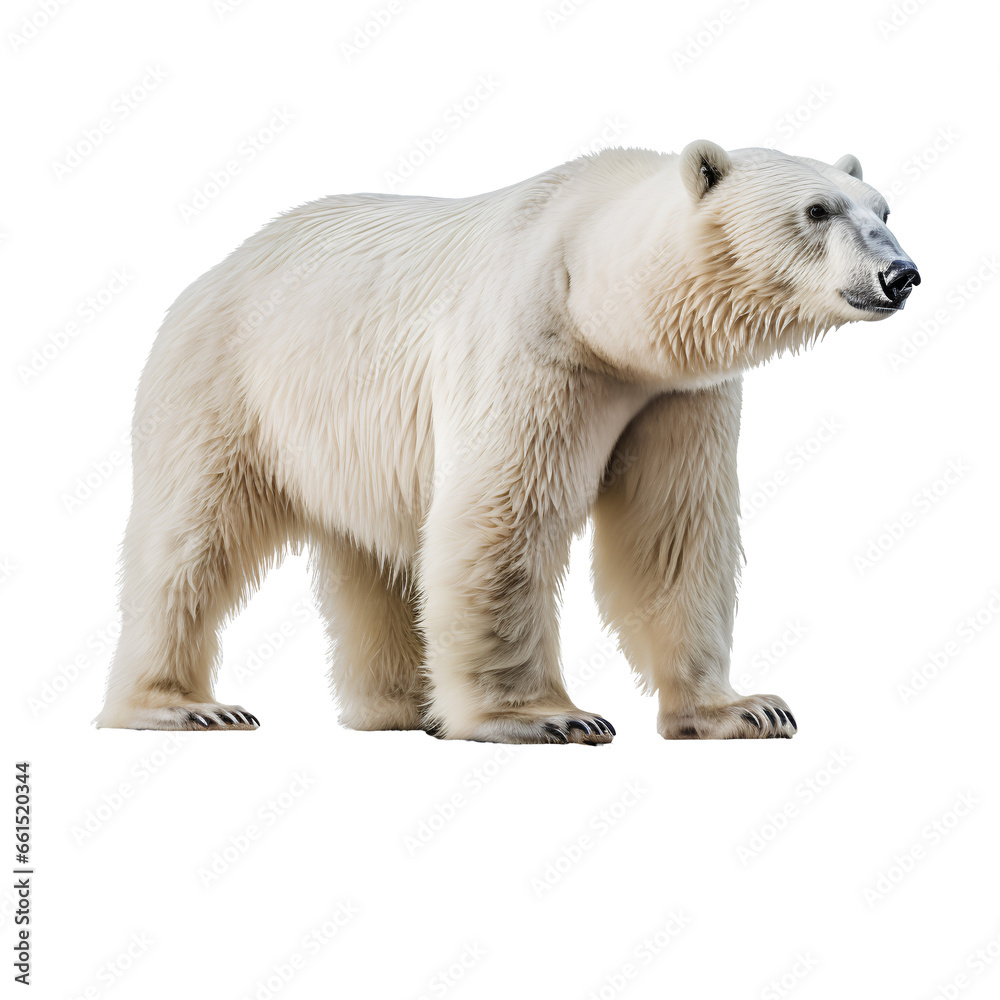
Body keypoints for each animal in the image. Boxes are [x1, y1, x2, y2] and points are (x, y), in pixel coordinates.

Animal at [95, 140, 919, 743]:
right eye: (816, 210)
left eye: (884, 207)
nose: (901, 273)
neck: (597, 295)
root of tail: (215, 269)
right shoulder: (535, 346)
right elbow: (503, 514)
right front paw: (548, 717)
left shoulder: (677, 394)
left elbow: (671, 536)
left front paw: (745, 708)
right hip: (231, 380)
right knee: (192, 536)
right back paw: (183, 704)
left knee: (377, 559)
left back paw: (404, 708)